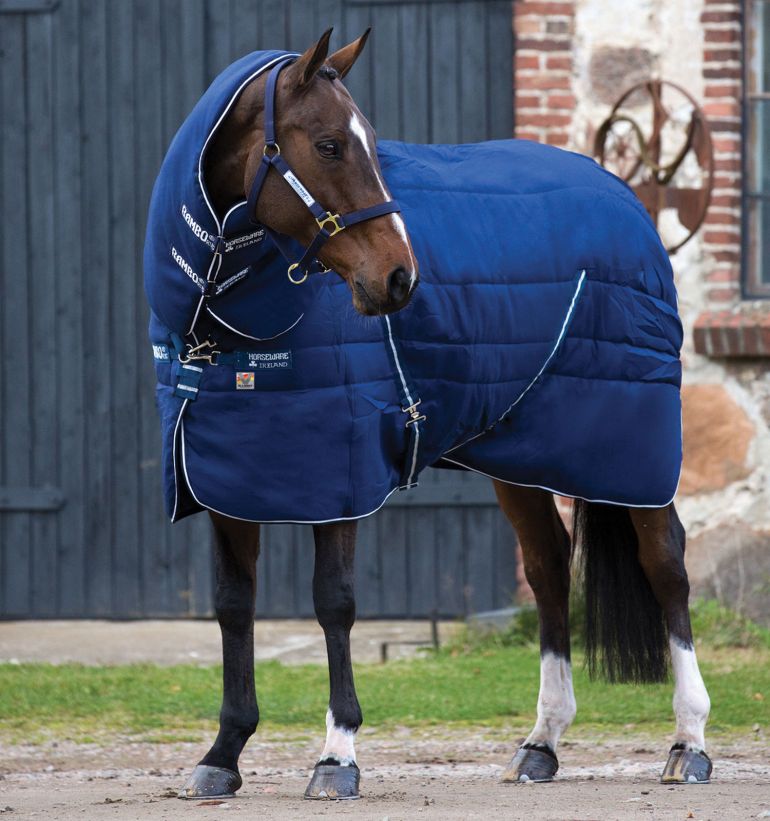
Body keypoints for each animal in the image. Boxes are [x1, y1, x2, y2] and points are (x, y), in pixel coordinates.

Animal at [143, 29, 712, 801]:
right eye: (328, 145)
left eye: (370, 143)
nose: (400, 277)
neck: (224, 327)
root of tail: (624, 198)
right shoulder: (224, 476)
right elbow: (233, 606)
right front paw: (223, 753)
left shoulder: (340, 475)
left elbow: (334, 601)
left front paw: (337, 755)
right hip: (519, 455)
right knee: (548, 565)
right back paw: (541, 742)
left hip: (630, 446)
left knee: (666, 564)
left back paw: (689, 740)